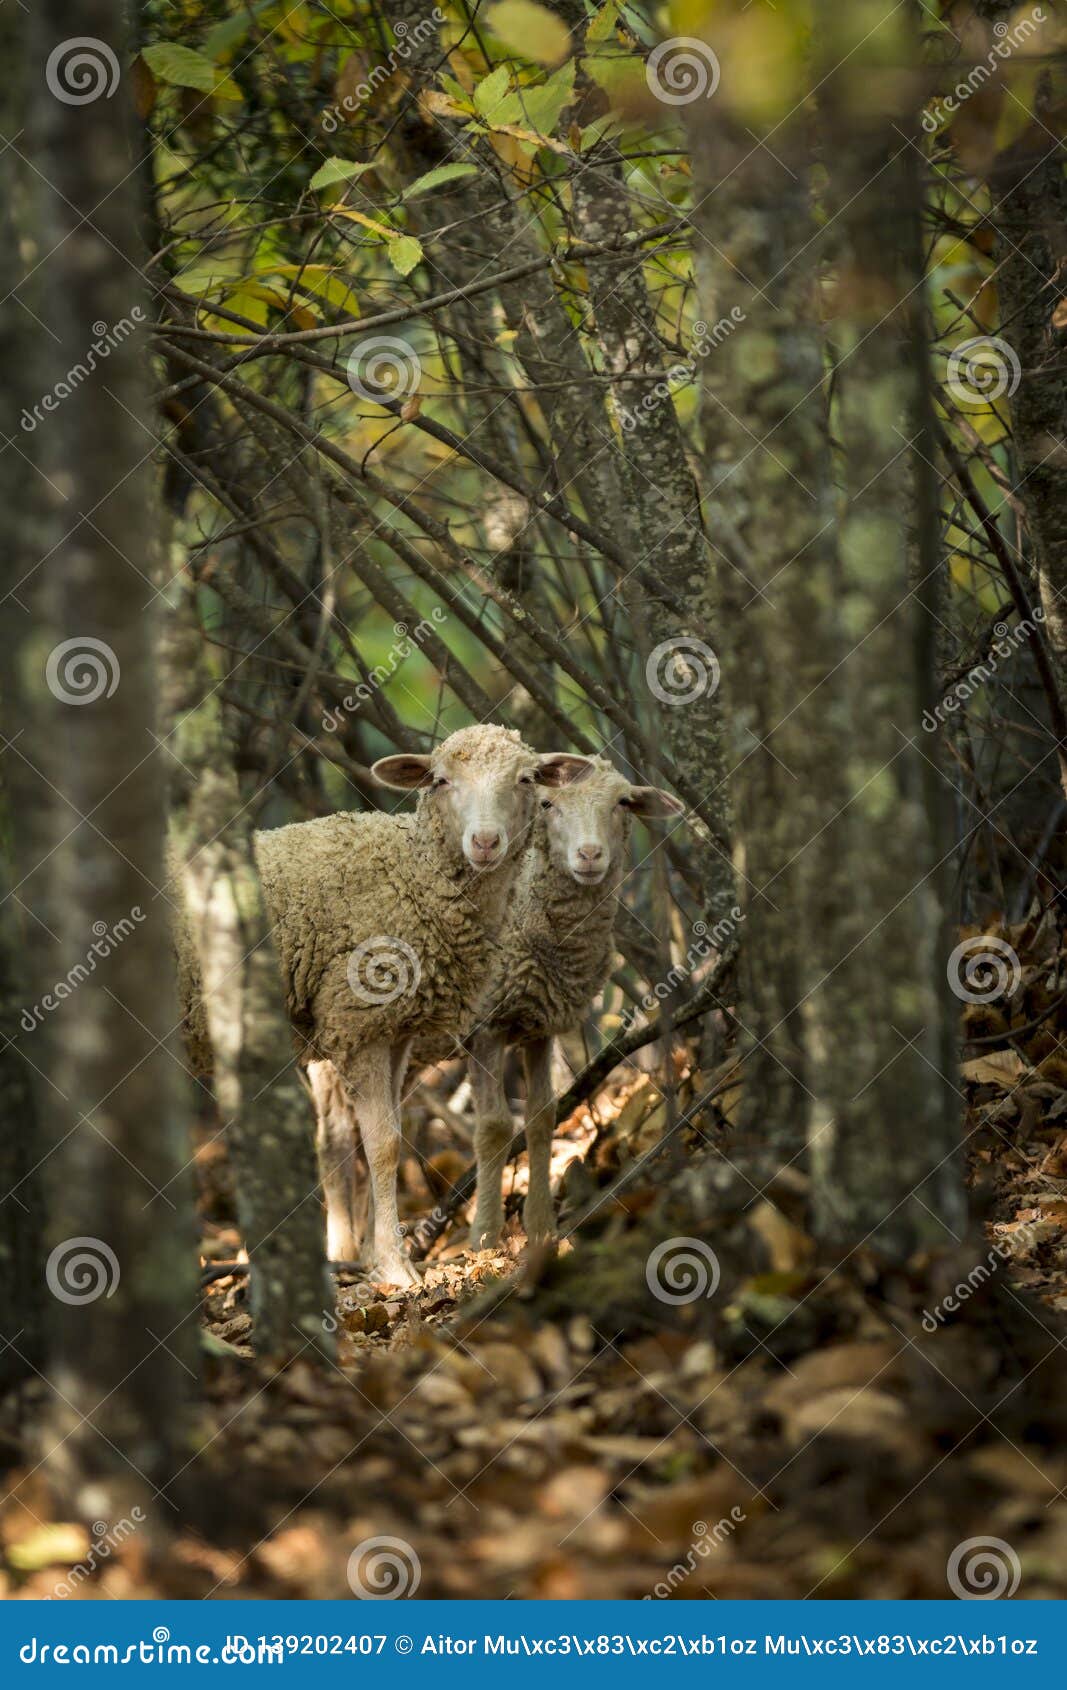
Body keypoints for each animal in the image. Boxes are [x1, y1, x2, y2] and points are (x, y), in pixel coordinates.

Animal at [181, 723, 584, 1287]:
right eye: (440, 780)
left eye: (526, 779)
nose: (485, 842)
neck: (413, 872)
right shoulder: (359, 1023)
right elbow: (384, 1143)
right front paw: (395, 1268)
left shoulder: (397, 1031)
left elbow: (387, 1133)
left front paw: (378, 1254)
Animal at [464, 756, 683, 1250]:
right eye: (547, 804)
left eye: (623, 802)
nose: (589, 855)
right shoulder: (485, 1025)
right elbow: (493, 1127)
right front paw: (484, 1236)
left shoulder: (538, 1024)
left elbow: (543, 1117)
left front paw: (541, 1227)